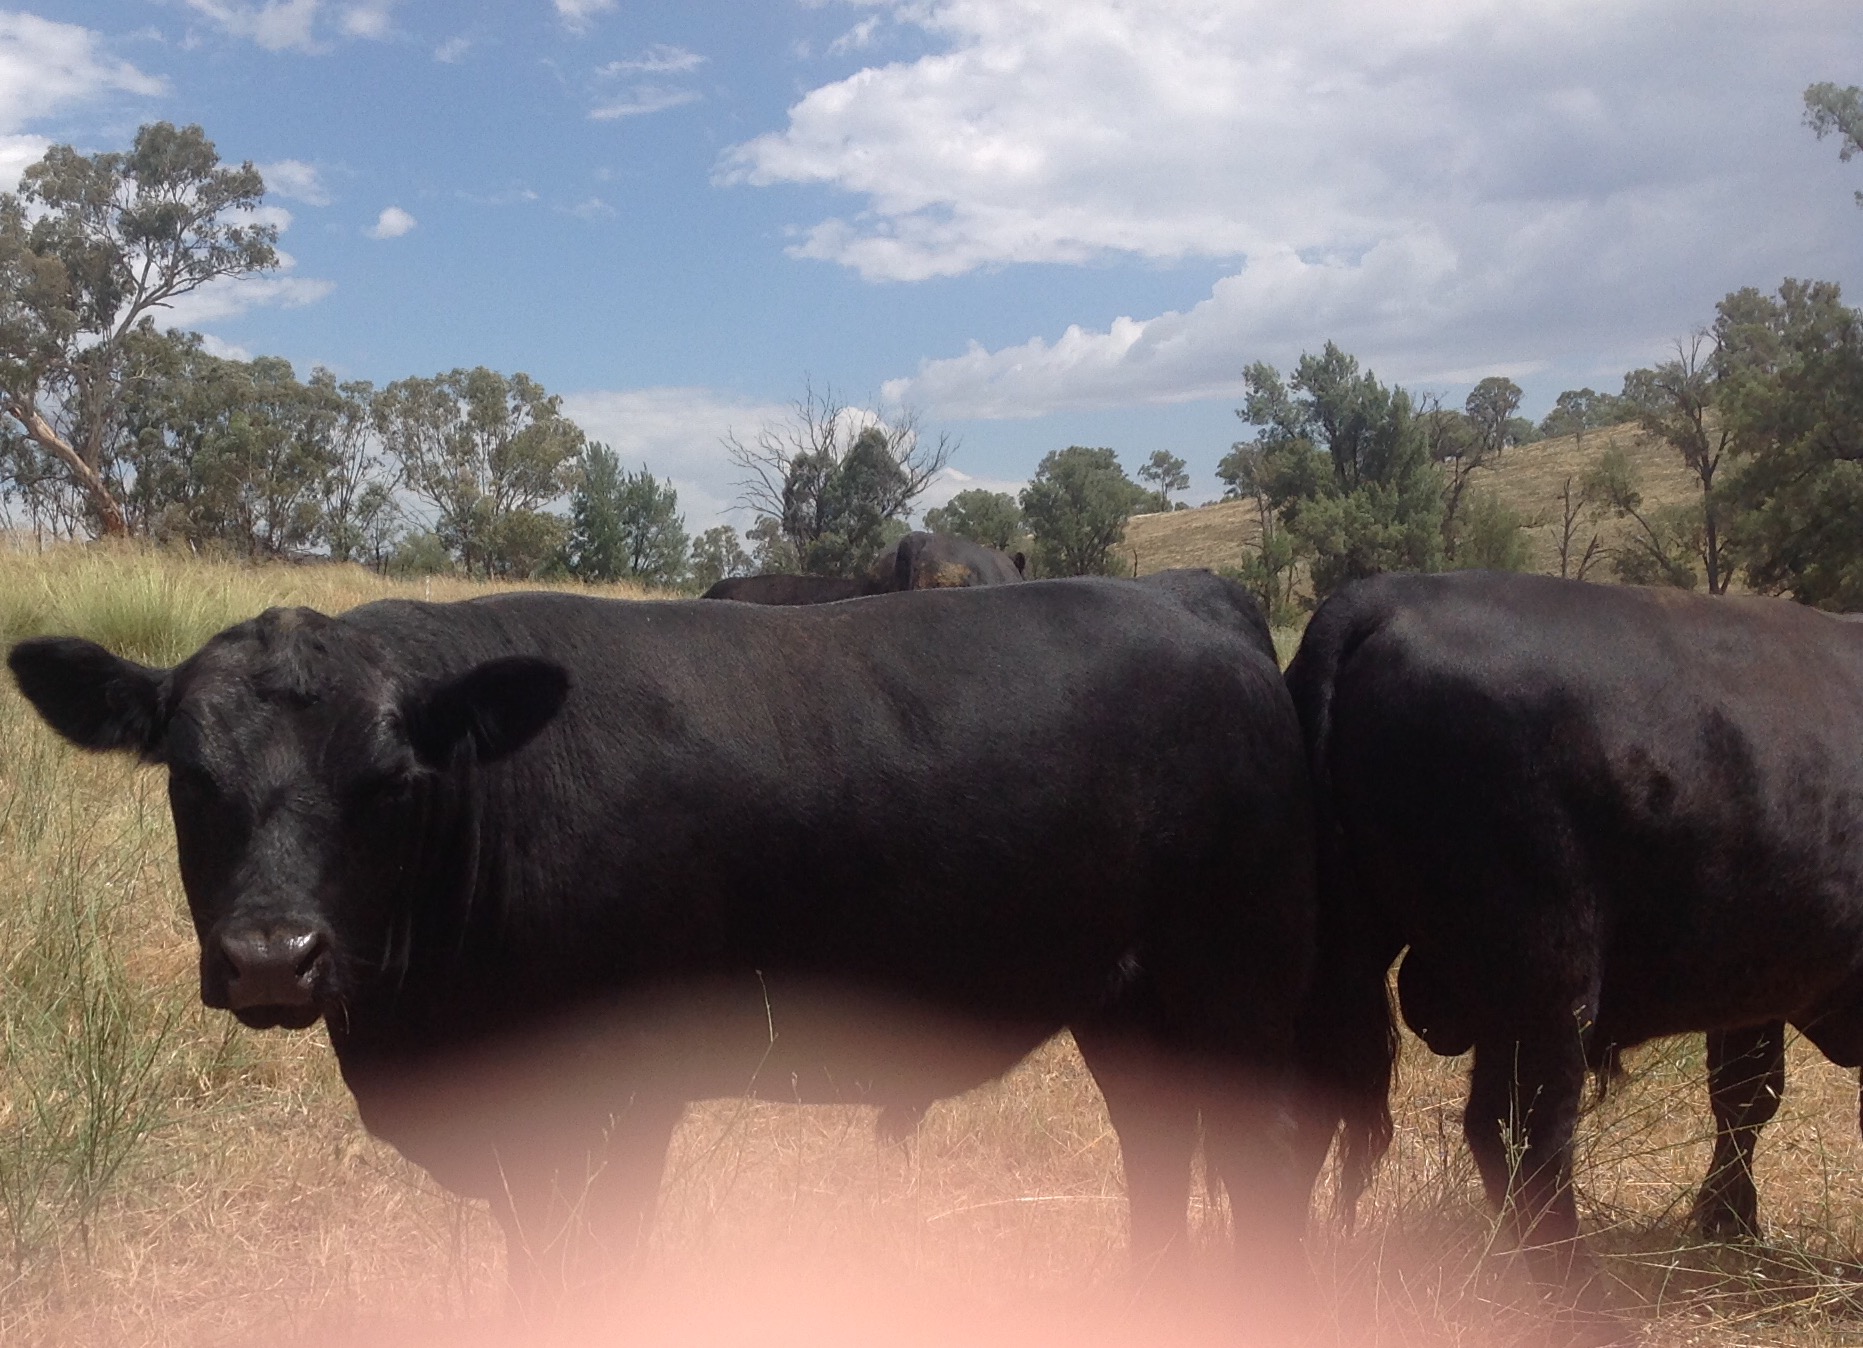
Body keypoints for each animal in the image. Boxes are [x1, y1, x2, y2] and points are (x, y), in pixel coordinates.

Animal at [9, 573, 1316, 1305]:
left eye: (390, 780)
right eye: (190, 776)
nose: (274, 957)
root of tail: (1202, 608)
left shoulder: (616, 1107)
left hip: (1241, 991)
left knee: (1266, 1178)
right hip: (1131, 1009)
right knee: (1160, 1159)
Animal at [1286, 569, 1863, 1310]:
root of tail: (1377, 600)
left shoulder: (1752, 987)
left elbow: (1744, 1093)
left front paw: (1727, 1221)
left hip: (1335, 966)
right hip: (1546, 981)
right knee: (1523, 1135)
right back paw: (1587, 1305)